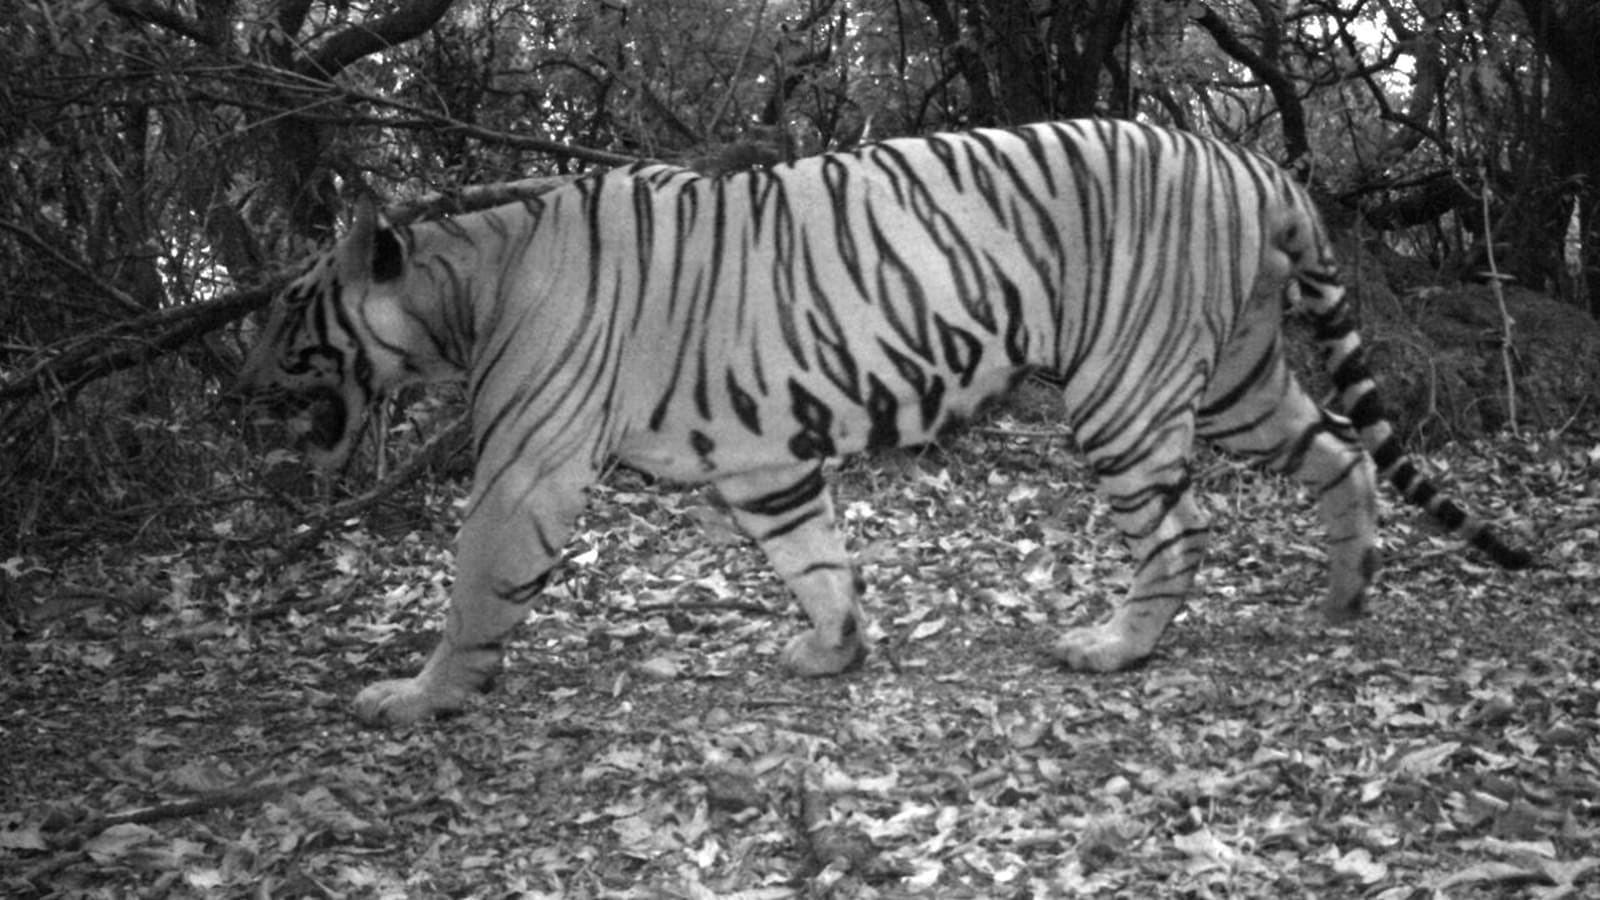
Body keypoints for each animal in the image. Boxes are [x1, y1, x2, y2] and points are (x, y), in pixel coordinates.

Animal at [233, 118, 1531, 726]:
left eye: (290, 312)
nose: (240, 385)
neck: (469, 287)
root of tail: (1252, 161)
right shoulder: (760, 462)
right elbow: (816, 561)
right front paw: (834, 651)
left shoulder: (526, 466)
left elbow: (471, 586)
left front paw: (420, 697)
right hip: (1238, 379)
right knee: (1340, 456)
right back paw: (1342, 597)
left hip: (1125, 388)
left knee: (1178, 532)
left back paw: (1114, 645)